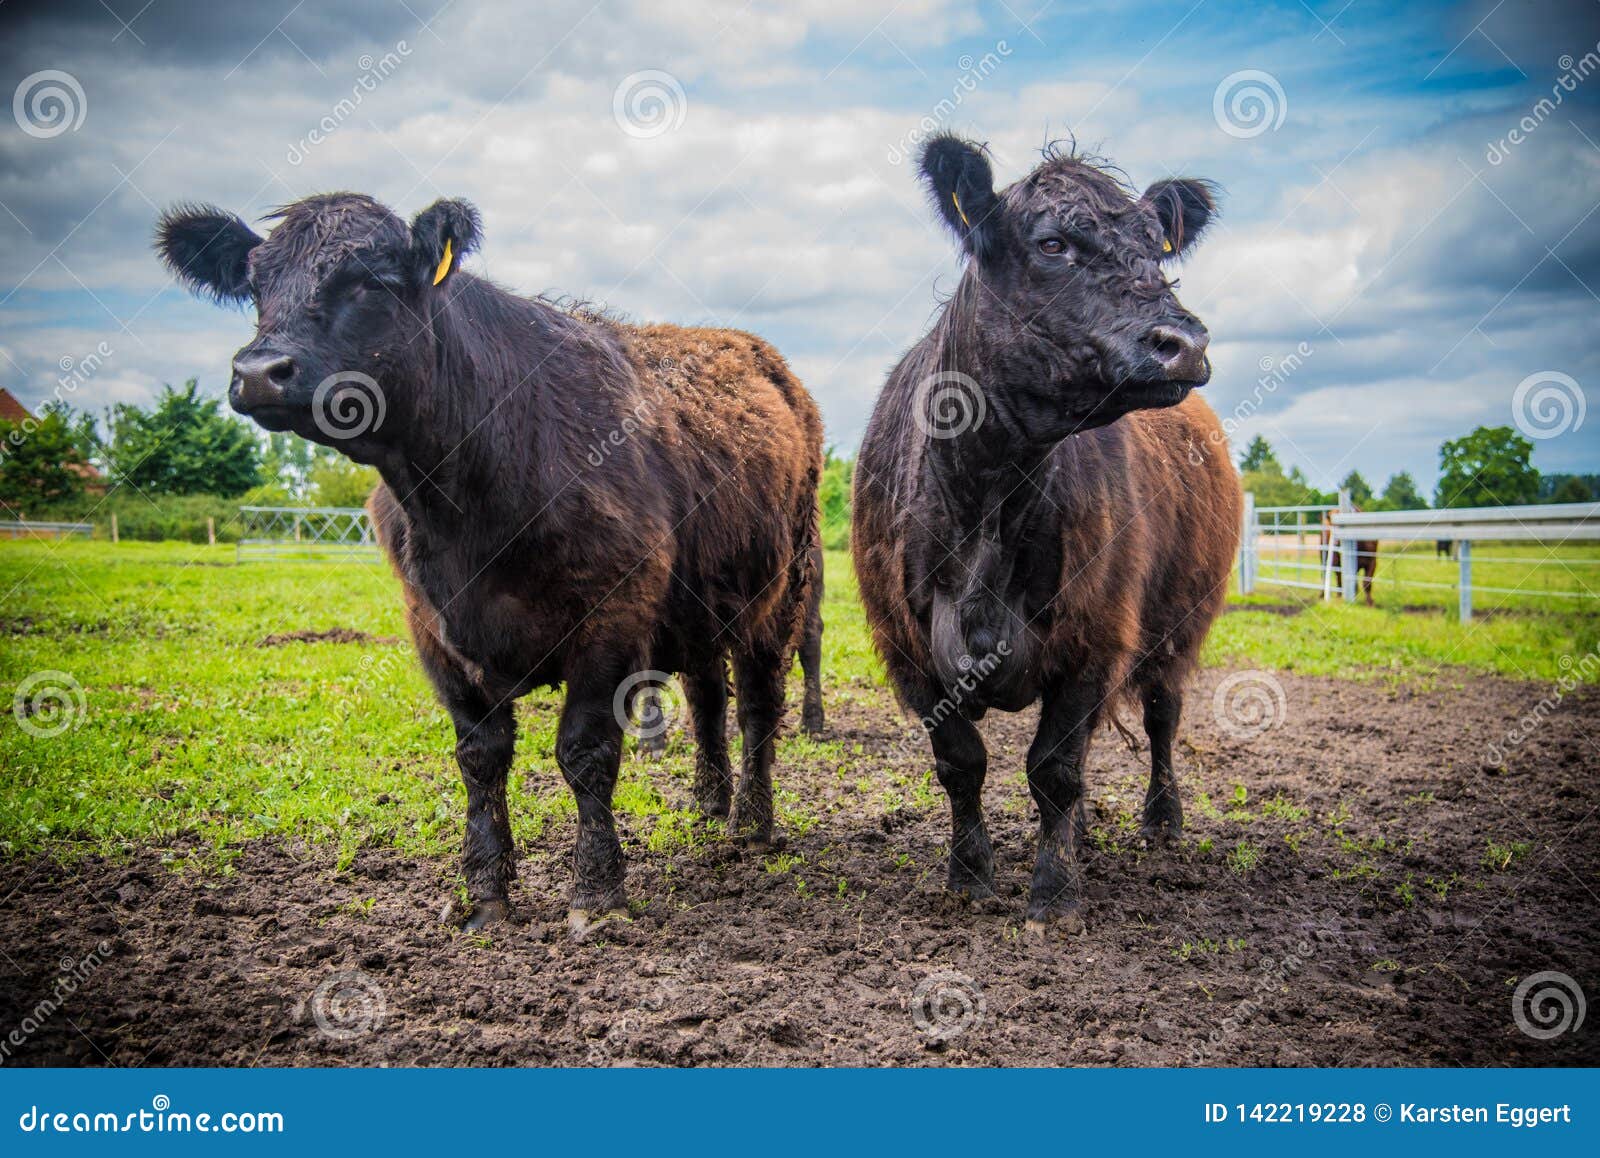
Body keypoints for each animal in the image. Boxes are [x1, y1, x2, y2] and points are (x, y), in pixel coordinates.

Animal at [156, 193, 823, 934]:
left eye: (370, 281)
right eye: (256, 284)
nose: (258, 372)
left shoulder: (612, 617)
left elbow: (585, 753)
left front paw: (597, 895)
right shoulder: (432, 628)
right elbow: (480, 759)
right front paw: (484, 894)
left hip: (781, 595)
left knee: (757, 706)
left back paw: (752, 826)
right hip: (699, 606)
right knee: (707, 695)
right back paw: (709, 806)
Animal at [852, 134, 1241, 935]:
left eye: (1154, 249)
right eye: (1052, 243)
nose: (1183, 343)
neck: (986, 498)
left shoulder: (1096, 636)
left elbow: (1054, 768)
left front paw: (1054, 893)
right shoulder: (905, 646)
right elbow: (962, 762)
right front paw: (970, 877)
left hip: (1178, 624)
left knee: (1161, 714)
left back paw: (1160, 822)